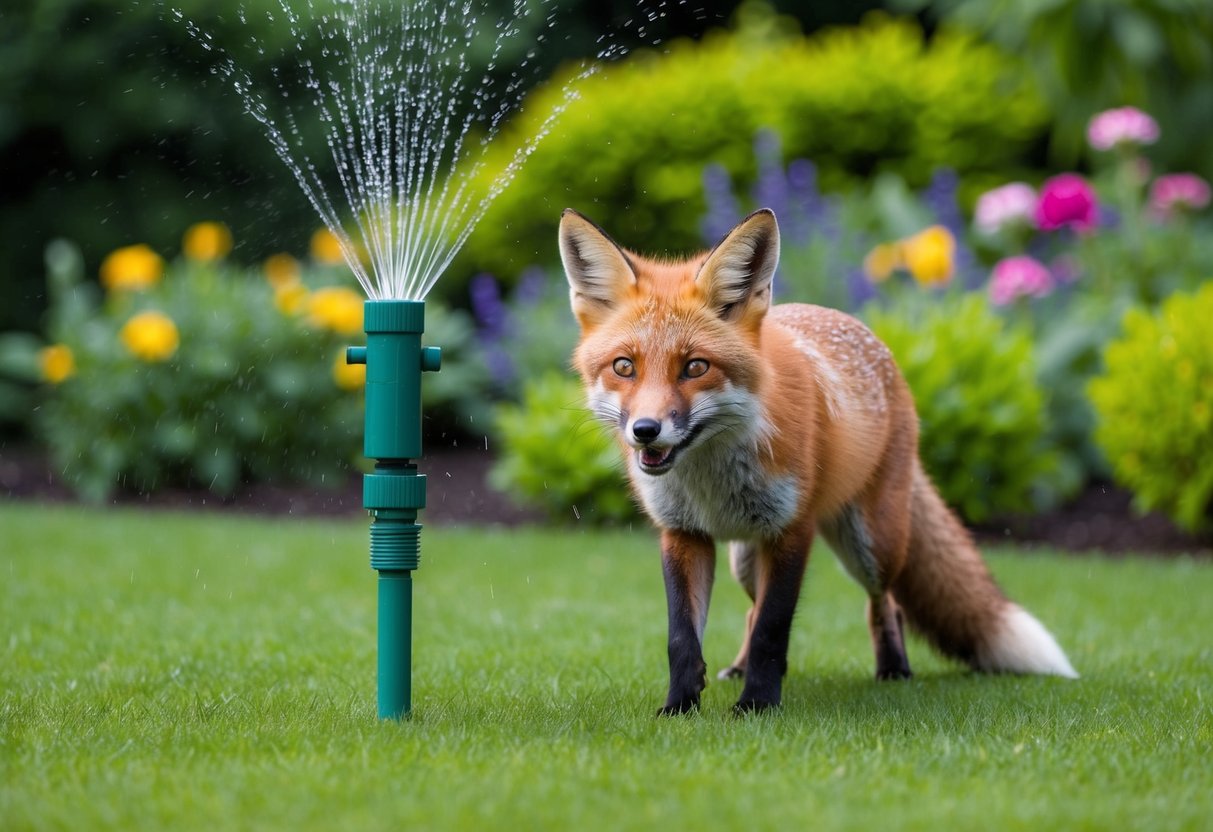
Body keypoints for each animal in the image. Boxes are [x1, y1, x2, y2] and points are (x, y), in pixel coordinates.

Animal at [558, 207, 1078, 715]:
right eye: (624, 366)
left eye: (695, 367)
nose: (645, 430)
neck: (710, 477)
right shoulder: (683, 534)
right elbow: (683, 638)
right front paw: (680, 708)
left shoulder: (792, 531)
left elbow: (772, 630)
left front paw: (758, 706)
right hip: (745, 559)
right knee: (751, 609)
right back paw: (739, 668)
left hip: (872, 545)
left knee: (887, 602)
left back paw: (893, 669)